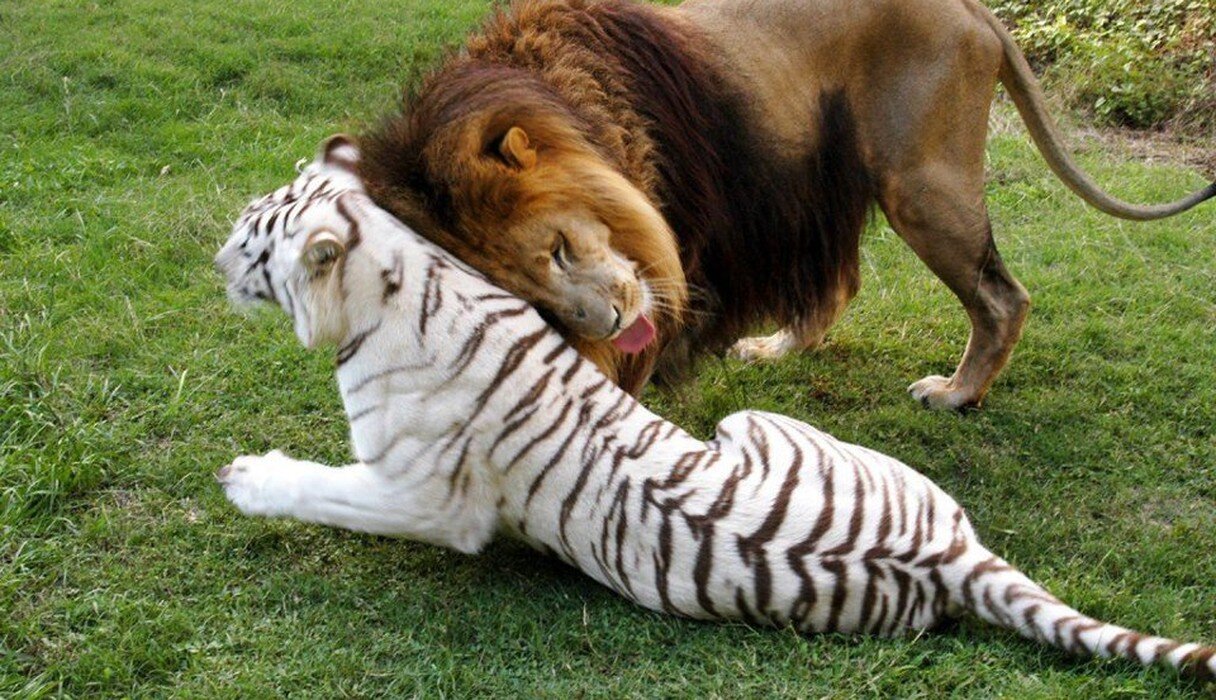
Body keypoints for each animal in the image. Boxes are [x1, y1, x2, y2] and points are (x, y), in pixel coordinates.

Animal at [213, 135, 1216, 681]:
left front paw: (245, 477)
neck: (400, 273)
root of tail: (950, 553)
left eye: (256, 241)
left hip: (746, 427)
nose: (215, 260)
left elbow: (324, 489)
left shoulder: (424, 496)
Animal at [357, 0, 1215, 407]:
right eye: (534, 304)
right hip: (830, 176)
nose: (607, 324)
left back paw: (958, 393)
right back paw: (775, 347)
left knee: (1003, 297)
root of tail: (974, 13)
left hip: (921, 180)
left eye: (562, 248)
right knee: (839, 281)